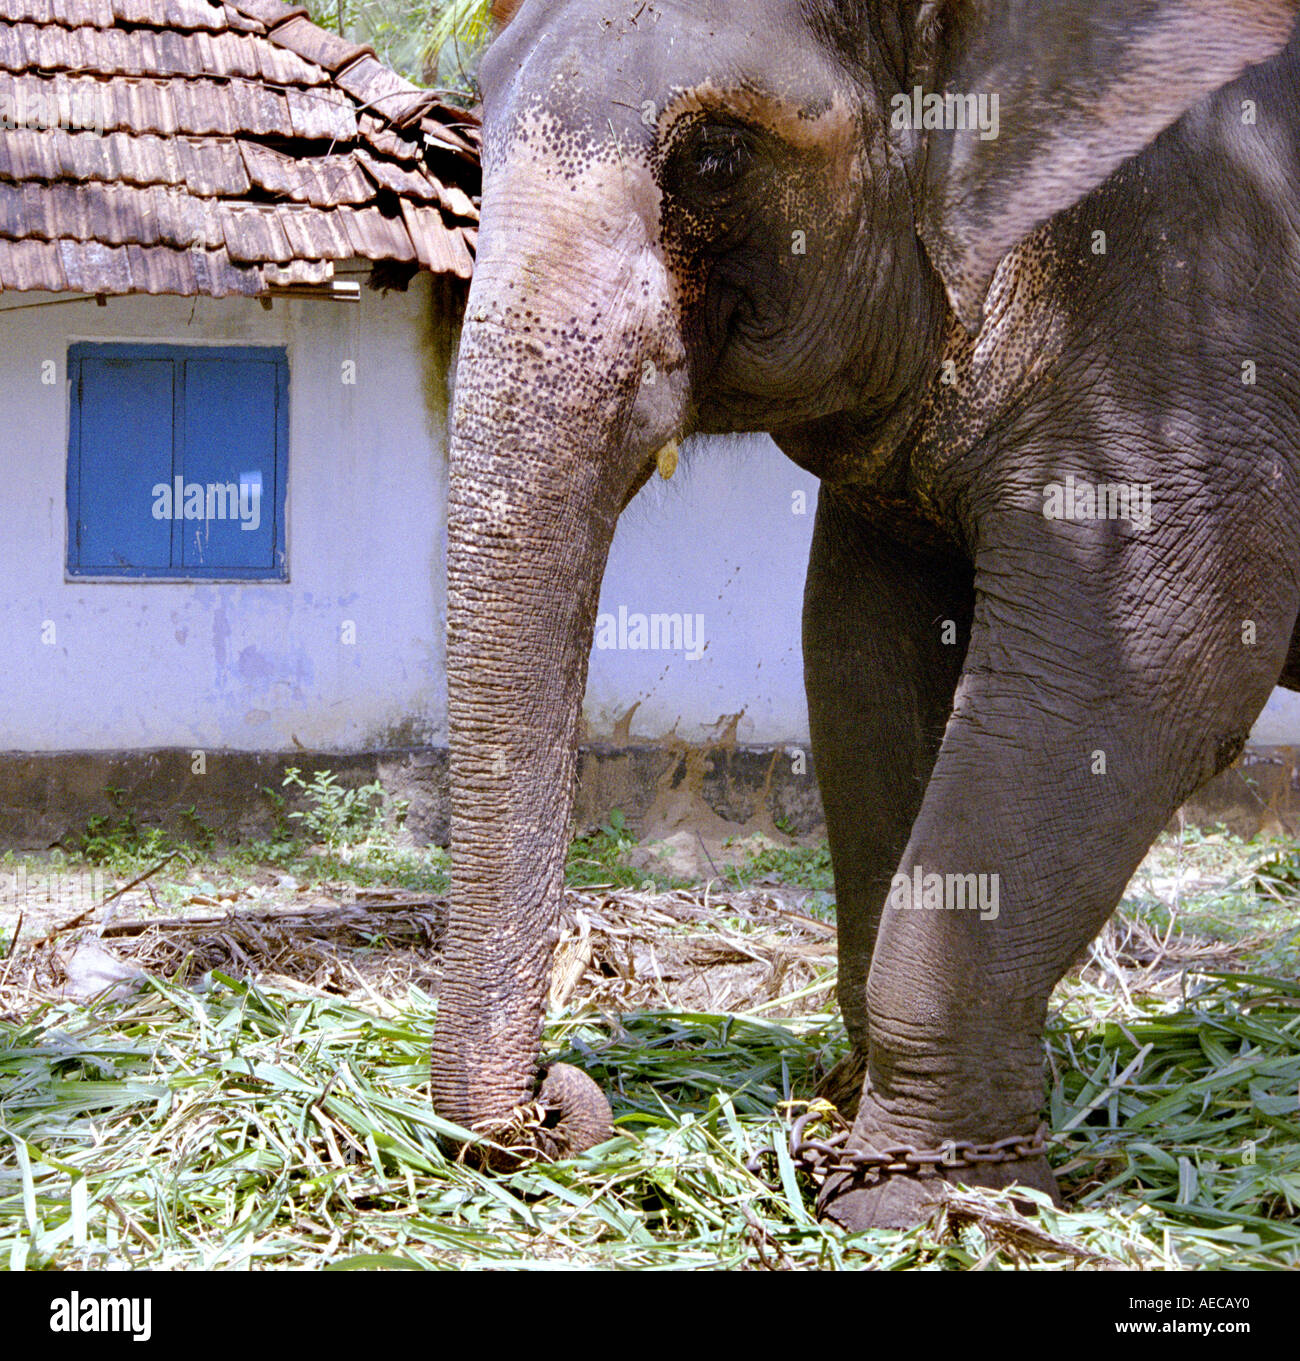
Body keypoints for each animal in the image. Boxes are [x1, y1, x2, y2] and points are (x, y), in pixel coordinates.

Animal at [430, 0, 1300, 1230]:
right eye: (478, 129)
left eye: (712, 157)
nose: (559, 1102)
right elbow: (858, 654)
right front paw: (862, 1133)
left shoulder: (1192, 301)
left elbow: (1163, 659)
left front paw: (919, 1204)